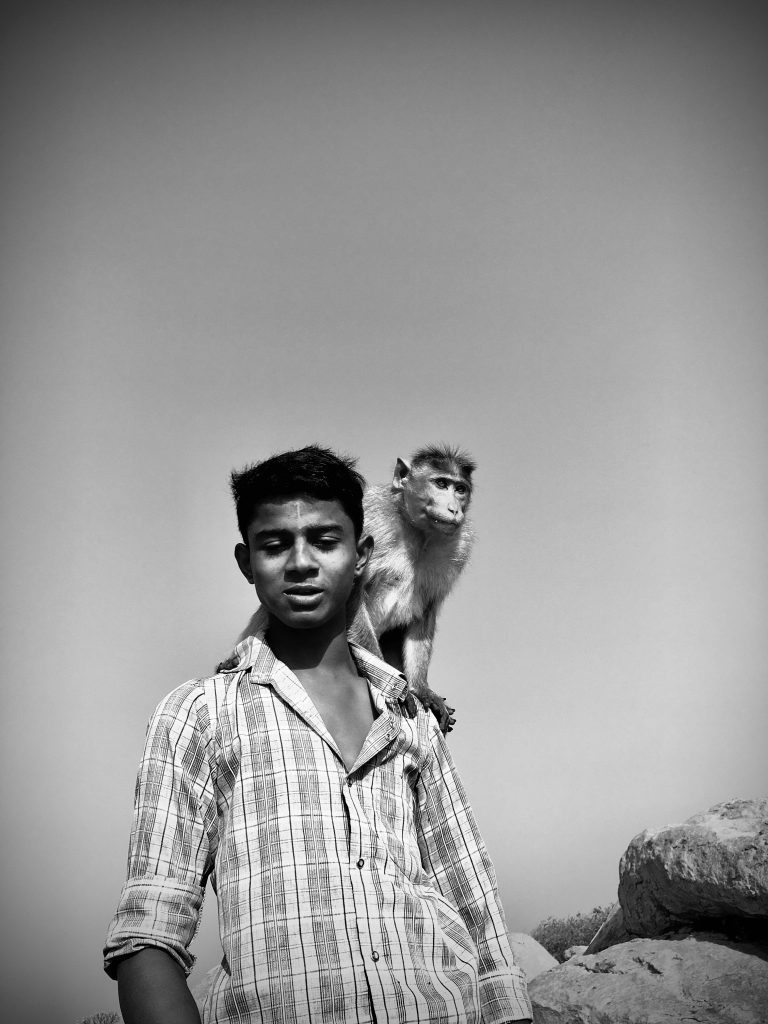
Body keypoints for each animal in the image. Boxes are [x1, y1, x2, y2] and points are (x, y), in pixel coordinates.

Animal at [218, 445, 475, 735]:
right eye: (440, 483)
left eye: (460, 489)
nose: (454, 508)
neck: (418, 531)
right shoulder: (374, 522)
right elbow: (354, 598)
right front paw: (394, 688)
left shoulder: (459, 546)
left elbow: (425, 611)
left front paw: (421, 688)